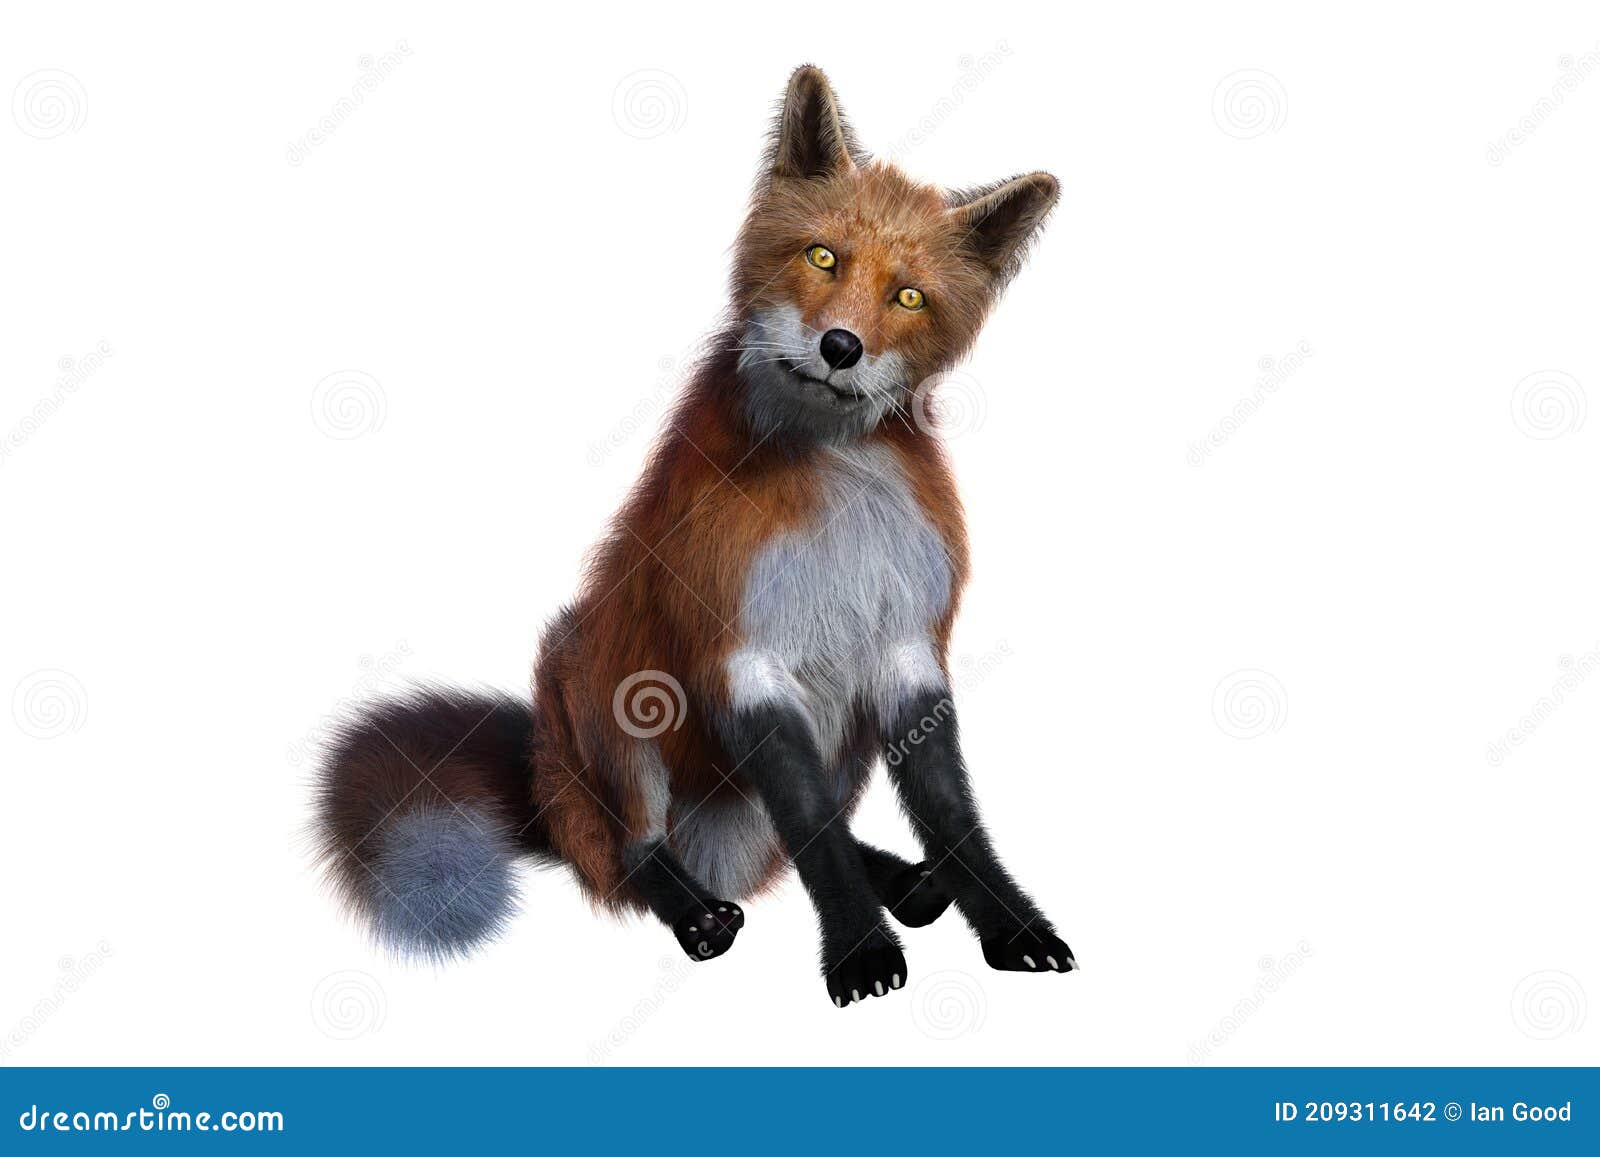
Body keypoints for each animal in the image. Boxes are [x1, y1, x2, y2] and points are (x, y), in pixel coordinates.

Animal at [313, 64, 1075, 1007]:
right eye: (822, 256)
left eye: (909, 295)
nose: (840, 346)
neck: (838, 504)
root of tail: (542, 782)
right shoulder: (743, 659)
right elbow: (816, 832)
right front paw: (860, 950)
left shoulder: (905, 654)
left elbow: (951, 821)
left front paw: (1013, 926)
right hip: (608, 697)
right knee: (639, 852)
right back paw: (698, 910)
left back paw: (906, 880)